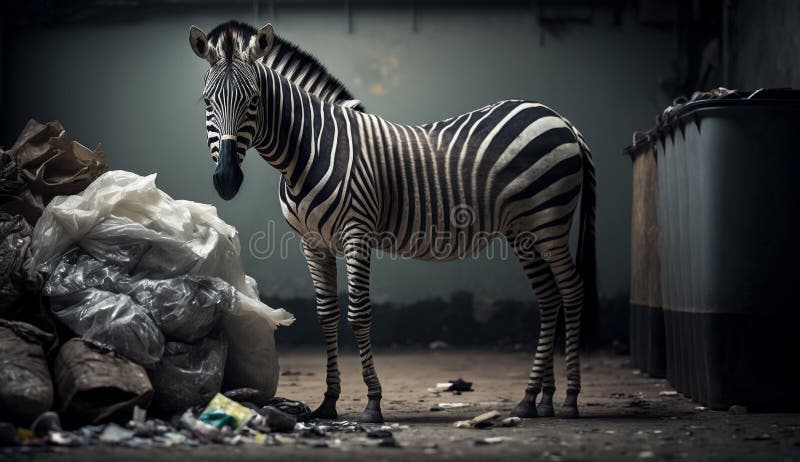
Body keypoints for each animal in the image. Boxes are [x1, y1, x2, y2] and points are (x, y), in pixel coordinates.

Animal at [189, 20, 597, 424]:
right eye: (207, 103)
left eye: (254, 101)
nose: (226, 180)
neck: (307, 154)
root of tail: (559, 118)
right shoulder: (313, 242)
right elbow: (325, 316)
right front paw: (329, 402)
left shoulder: (356, 232)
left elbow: (358, 315)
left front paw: (372, 403)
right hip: (524, 229)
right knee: (548, 298)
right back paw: (535, 400)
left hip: (548, 221)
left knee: (572, 290)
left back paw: (569, 400)